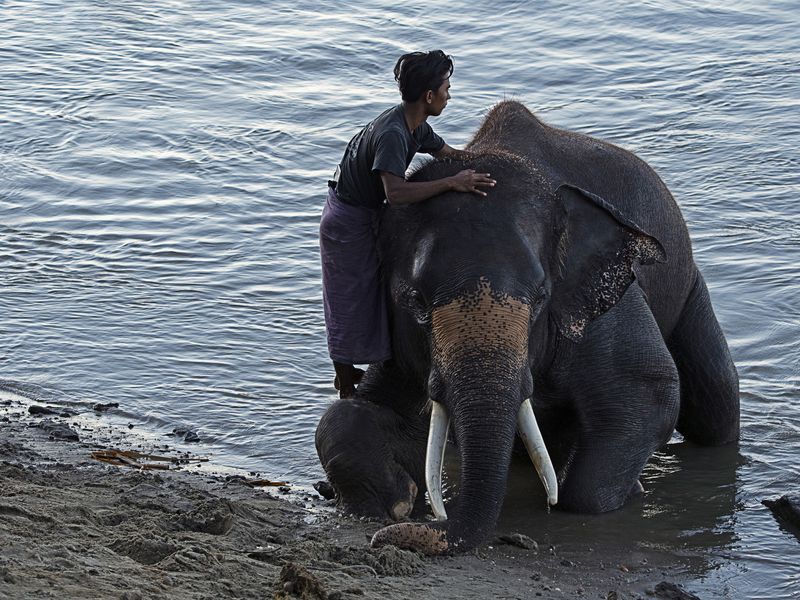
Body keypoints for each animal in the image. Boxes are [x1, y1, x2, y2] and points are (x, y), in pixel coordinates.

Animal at [315, 100, 740, 556]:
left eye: (540, 297)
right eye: (416, 301)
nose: (384, 539)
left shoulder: (606, 304)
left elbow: (648, 388)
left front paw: (624, 493)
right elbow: (351, 413)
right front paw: (394, 503)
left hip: (689, 286)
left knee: (715, 408)